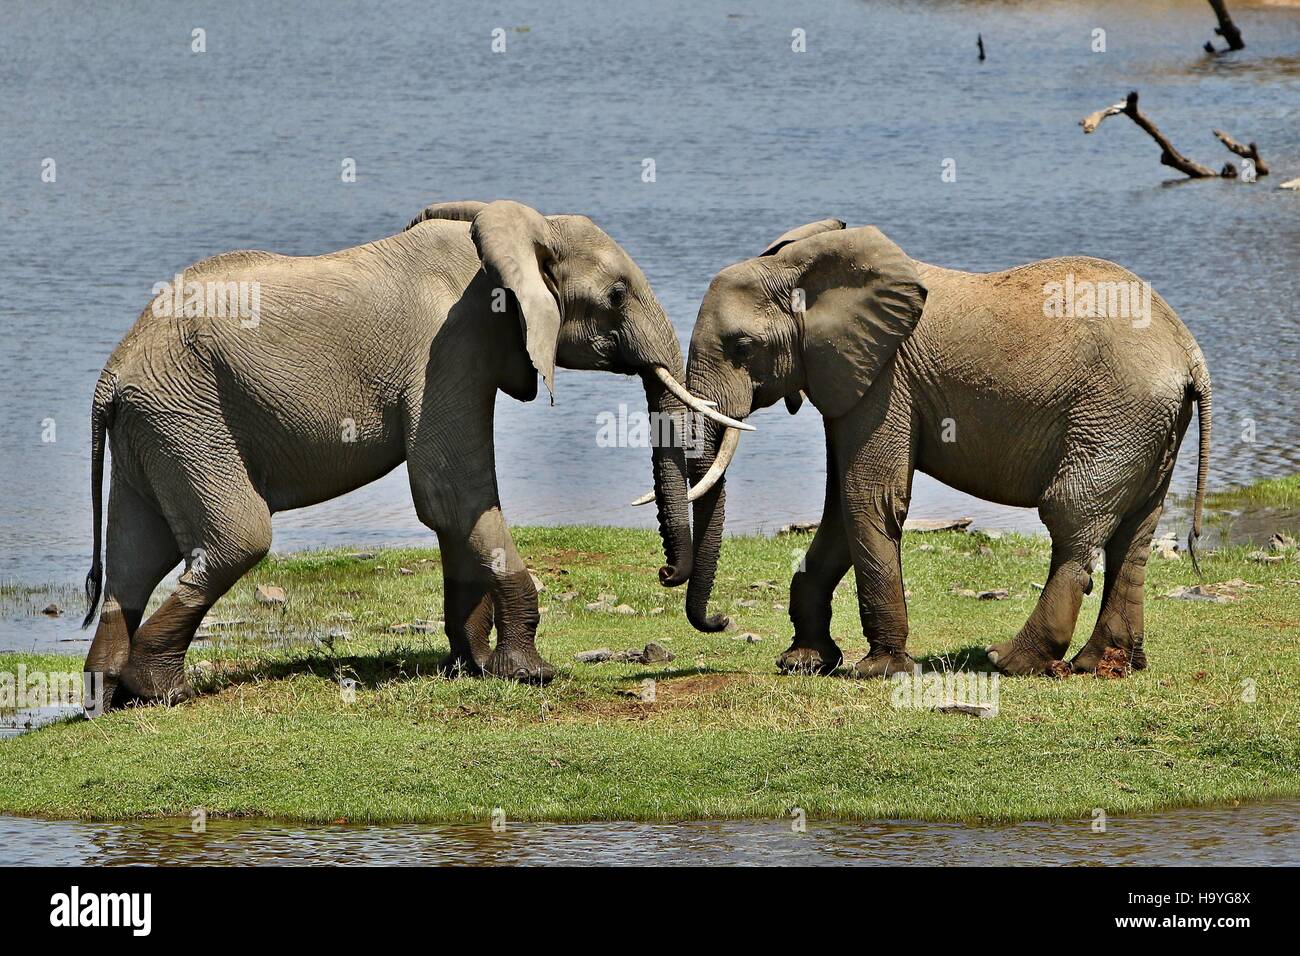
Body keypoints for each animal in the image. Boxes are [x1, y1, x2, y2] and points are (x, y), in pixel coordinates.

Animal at [81, 199, 741, 708]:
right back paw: (163, 692)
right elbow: (452, 493)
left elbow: (455, 512)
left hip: (156, 425)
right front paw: (531, 674)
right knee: (239, 538)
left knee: (136, 555)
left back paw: (107, 696)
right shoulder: (447, 350)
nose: (667, 575)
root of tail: (111, 374)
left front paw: (474, 665)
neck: (516, 234)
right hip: (188, 413)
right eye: (618, 294)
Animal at [648, 219, 1211, 678]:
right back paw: (1103, 665)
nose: (720, 620)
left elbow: (867, 495)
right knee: (1135, 533)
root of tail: (1189, 353)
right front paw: (802, 662)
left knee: (1071, 518)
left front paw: (877, 670)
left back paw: (1010, 661)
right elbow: (839, 505)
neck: (804, 266)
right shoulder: (848, 377)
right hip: (1151, 426)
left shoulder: (885, 379)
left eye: (742, 347)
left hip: (1116, 414)